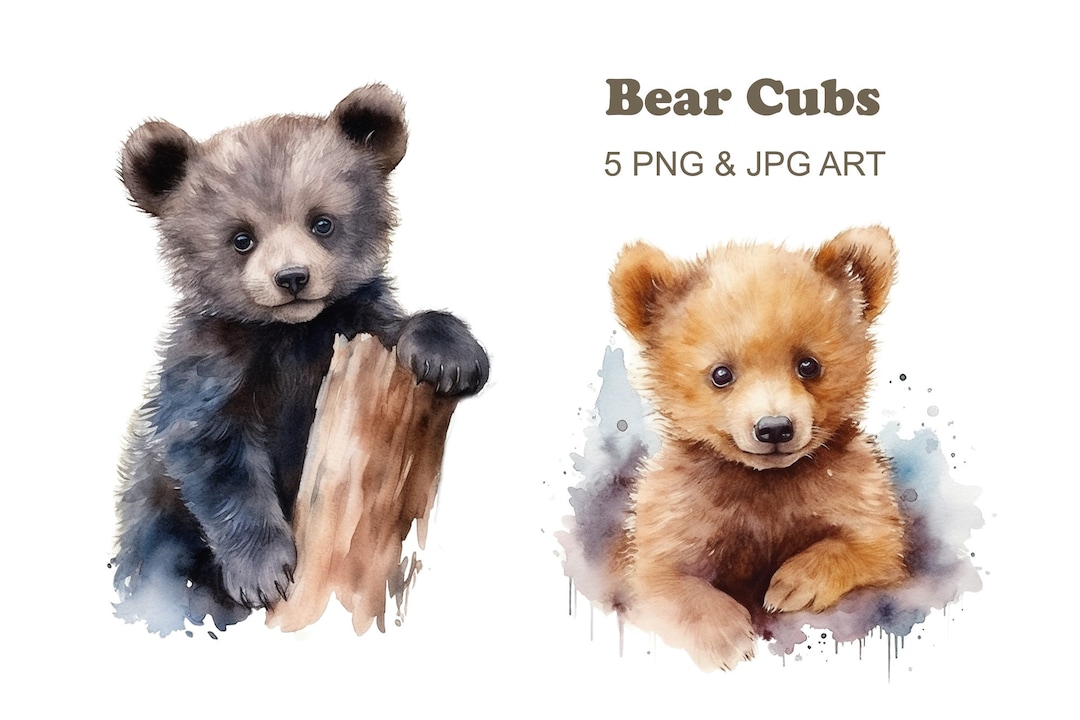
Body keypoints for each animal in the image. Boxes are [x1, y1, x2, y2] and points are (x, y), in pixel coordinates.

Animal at [111, 85, 489, 635]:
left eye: (322, 223)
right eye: (241, 238)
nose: (292, 278)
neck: (290, 334)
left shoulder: (350, 323)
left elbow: (399, 327)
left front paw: (450, 356)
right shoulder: (213, 364)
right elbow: (216, 457)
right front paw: (262, 571)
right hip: (157, 532)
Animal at [606, 226, 907, 670]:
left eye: (808, 364)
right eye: (721, 373)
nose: (775, 428)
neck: (764, 482)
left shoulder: (854, 489)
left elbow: (874, 546)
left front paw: (792, 584)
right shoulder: (676, 510)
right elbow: (663, 580)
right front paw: (726, 637)